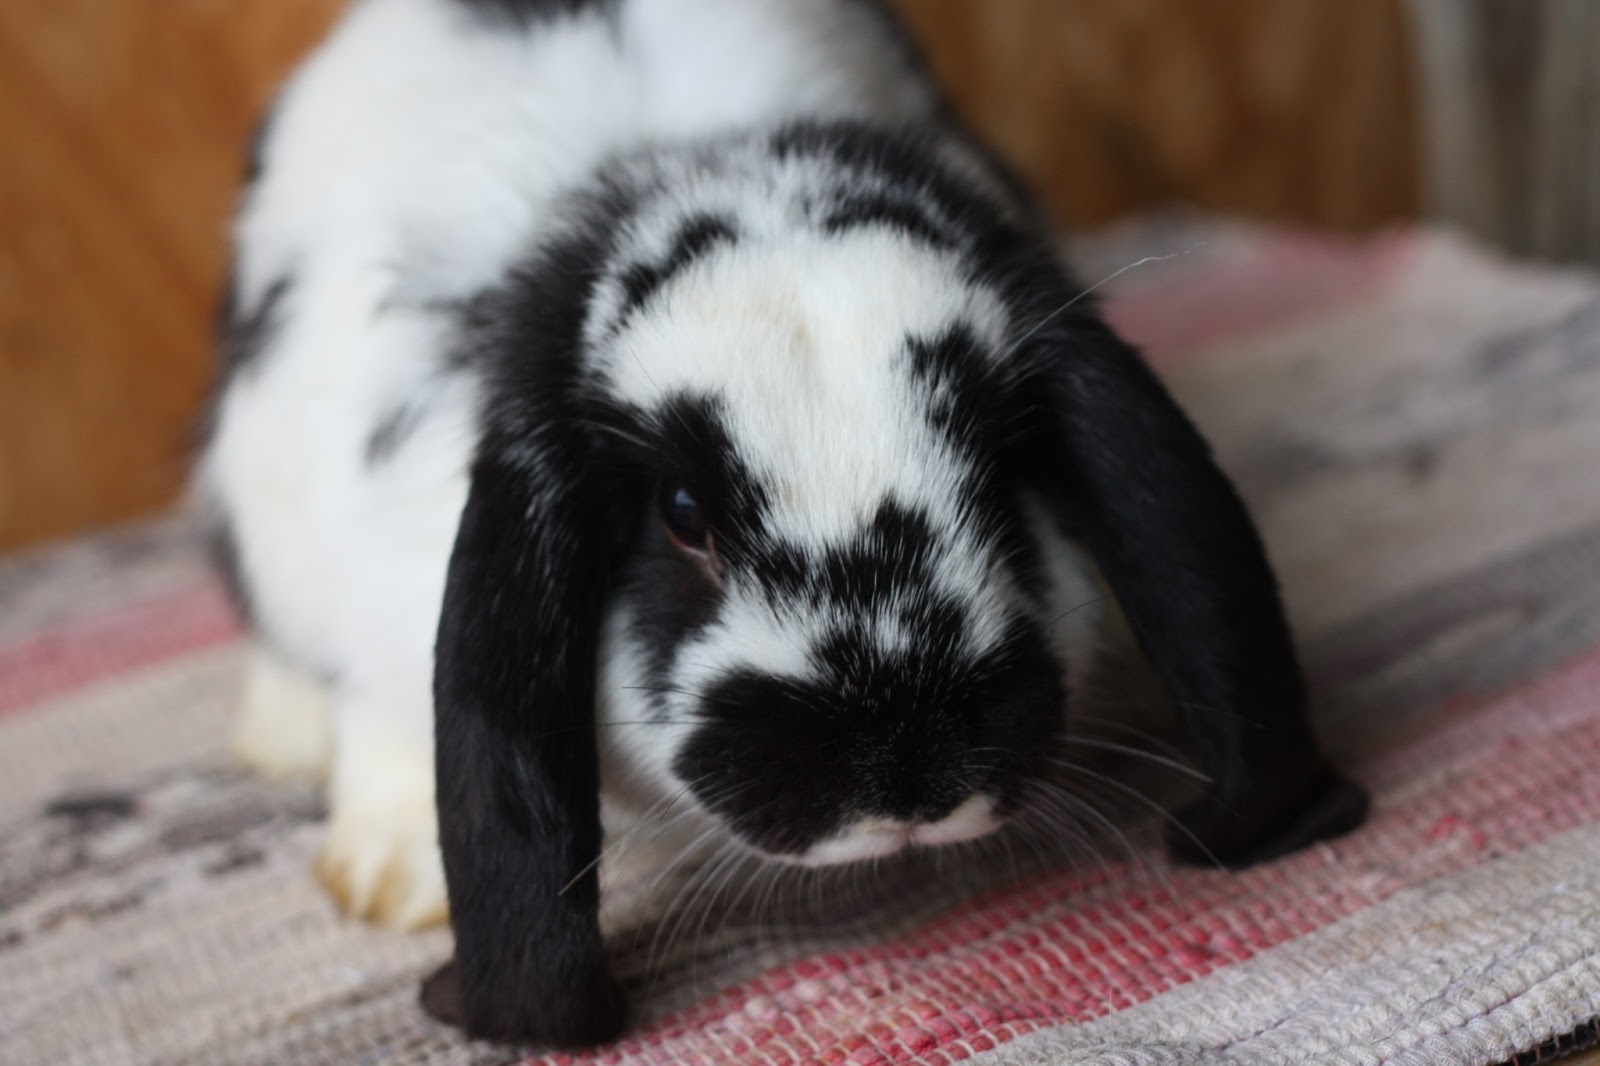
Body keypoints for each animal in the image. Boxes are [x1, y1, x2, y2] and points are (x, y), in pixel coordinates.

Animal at [200, 0, 1369, 1047]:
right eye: (681, 513)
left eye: (997, 465)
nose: (904, 774)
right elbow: (393, 732)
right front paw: (395, 882)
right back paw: (281, 743)